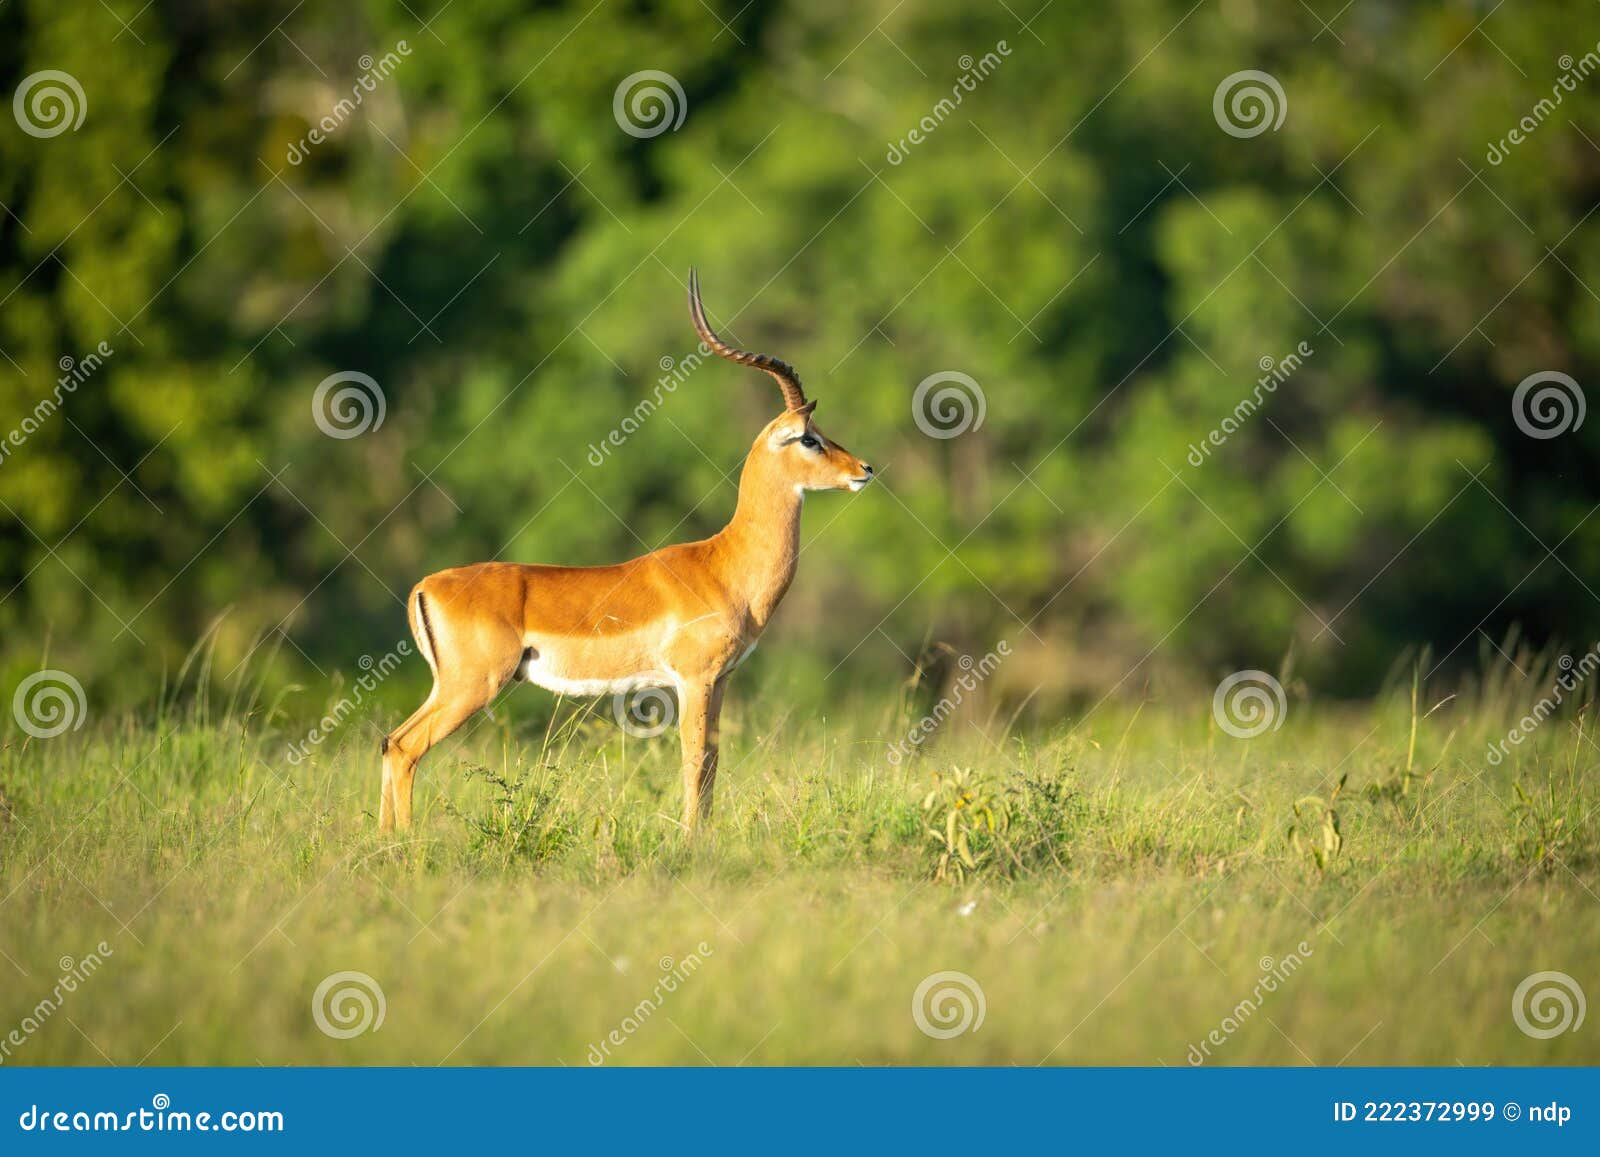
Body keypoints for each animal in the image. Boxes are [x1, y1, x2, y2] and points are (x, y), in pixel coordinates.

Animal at [378, 270, 874, 834]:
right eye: (810, 439)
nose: (864, 469)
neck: (726, 565)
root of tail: (425, 586)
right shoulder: (693, 679)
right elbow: (694, 760)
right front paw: (690, 841)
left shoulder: (721, 680)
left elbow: (712, 762)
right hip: (473, 685)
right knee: (405, 747)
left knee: (390, 742)